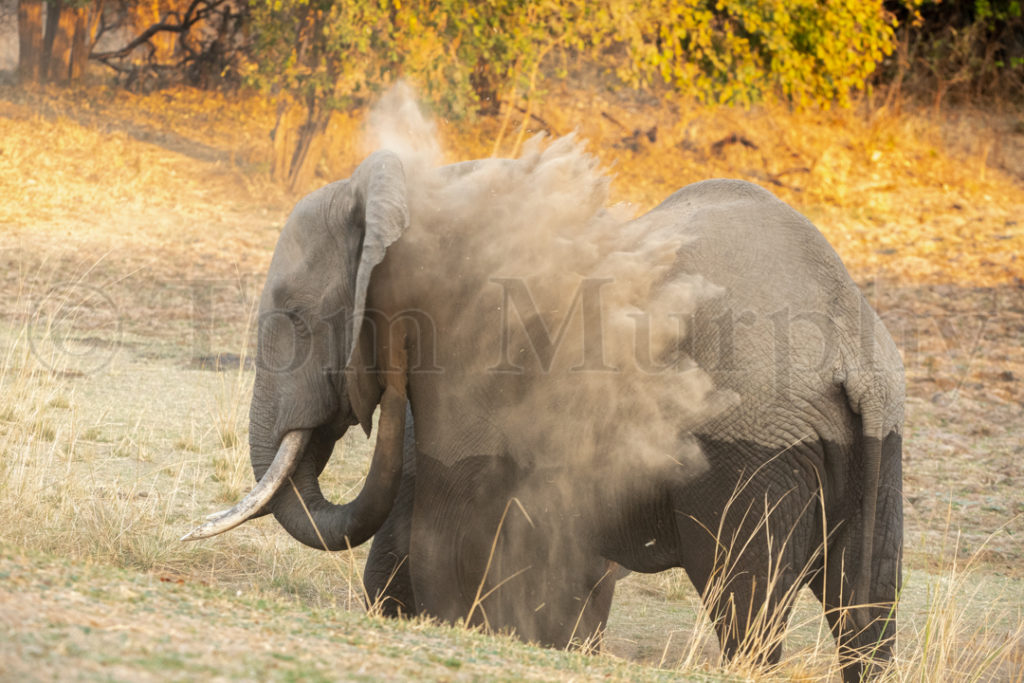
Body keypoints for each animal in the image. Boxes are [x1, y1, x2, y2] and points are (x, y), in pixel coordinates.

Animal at [184, 139, 904, 682]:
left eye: (294, 315)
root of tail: (851, 344)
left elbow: (452, 528)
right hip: (876, 446)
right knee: (865, 608)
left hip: (751, 448)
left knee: (746, 602)